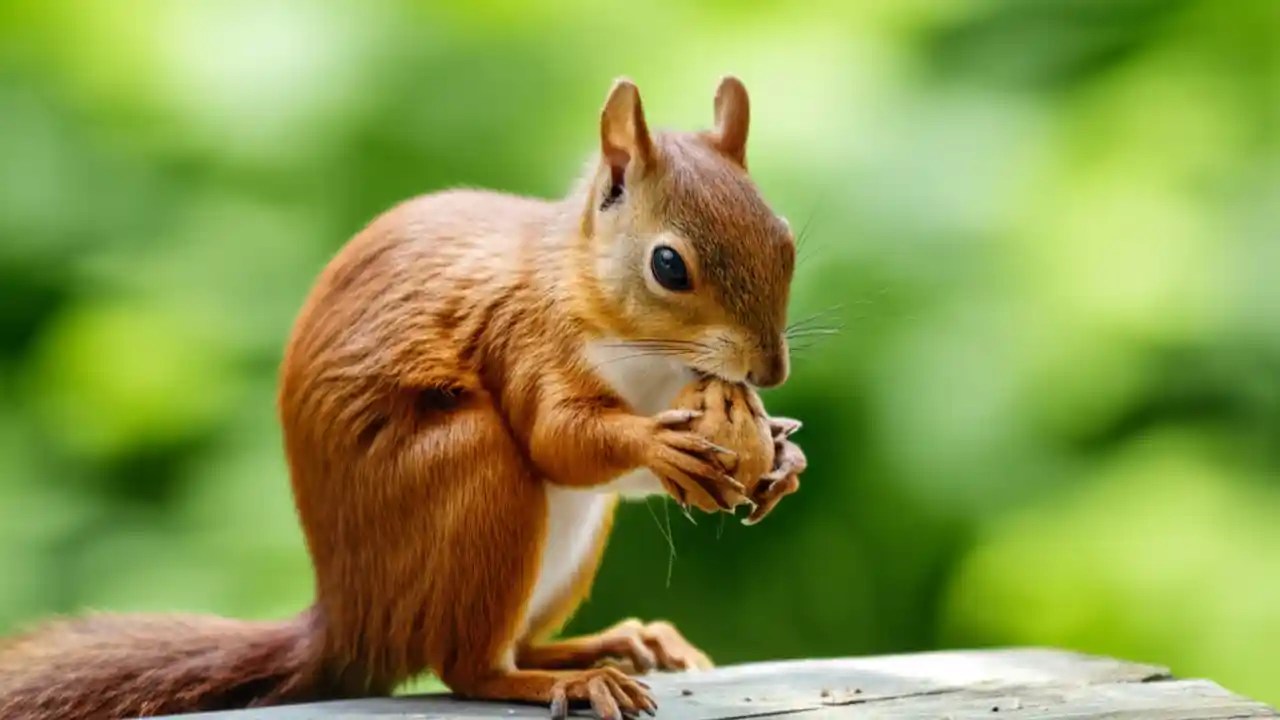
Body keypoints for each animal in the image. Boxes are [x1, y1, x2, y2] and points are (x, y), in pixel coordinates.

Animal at [0, 75, 806, 720]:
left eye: (786, 239)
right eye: (668, 266)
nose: (768, 373)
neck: (648, 361)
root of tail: (352, 624)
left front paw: (781, 455)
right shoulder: (525, 338)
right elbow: (557, 439)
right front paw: (659, 441)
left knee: (515, 642)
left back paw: (611, 644)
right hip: (472, 472)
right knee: (467, 666)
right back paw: (561, 681)